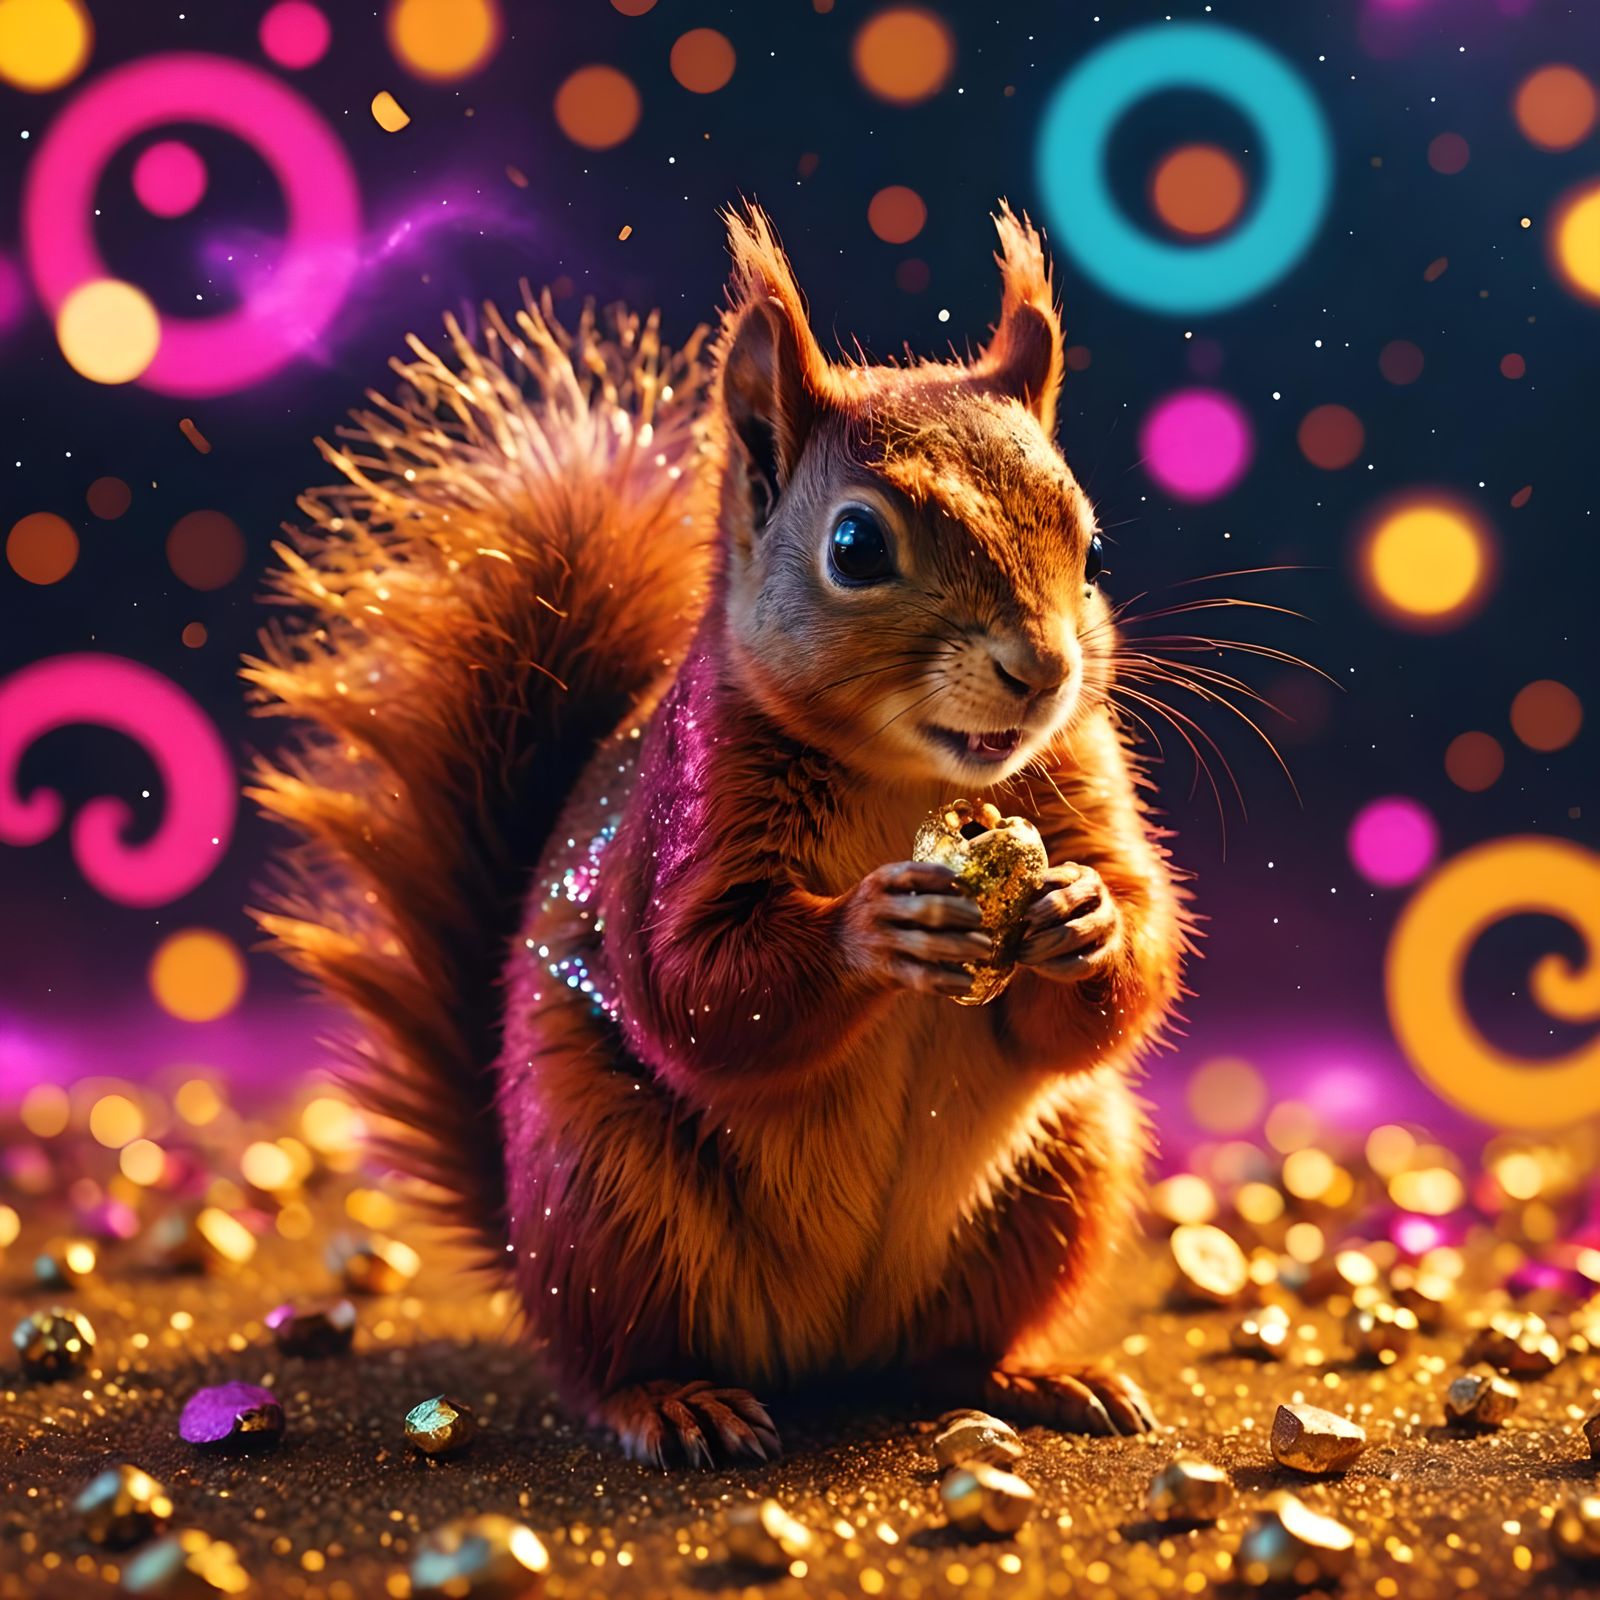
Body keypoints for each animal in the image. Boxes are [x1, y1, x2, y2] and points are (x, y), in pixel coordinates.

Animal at [245, 202, 1190, 1468]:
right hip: (606, 1188)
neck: (908, 773)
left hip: (1065, 1167)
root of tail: (828, 1350)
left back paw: (1031, 1373)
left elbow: (1122, 964)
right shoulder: (686, 811)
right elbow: (694, 984)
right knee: (604, 1359)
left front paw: (1083, 916)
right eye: (855, 546)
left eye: (1087, 545)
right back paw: (672, 1399)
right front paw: (871, 929)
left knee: (945, 1351)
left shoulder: (1080, 774)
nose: (1040, 670)